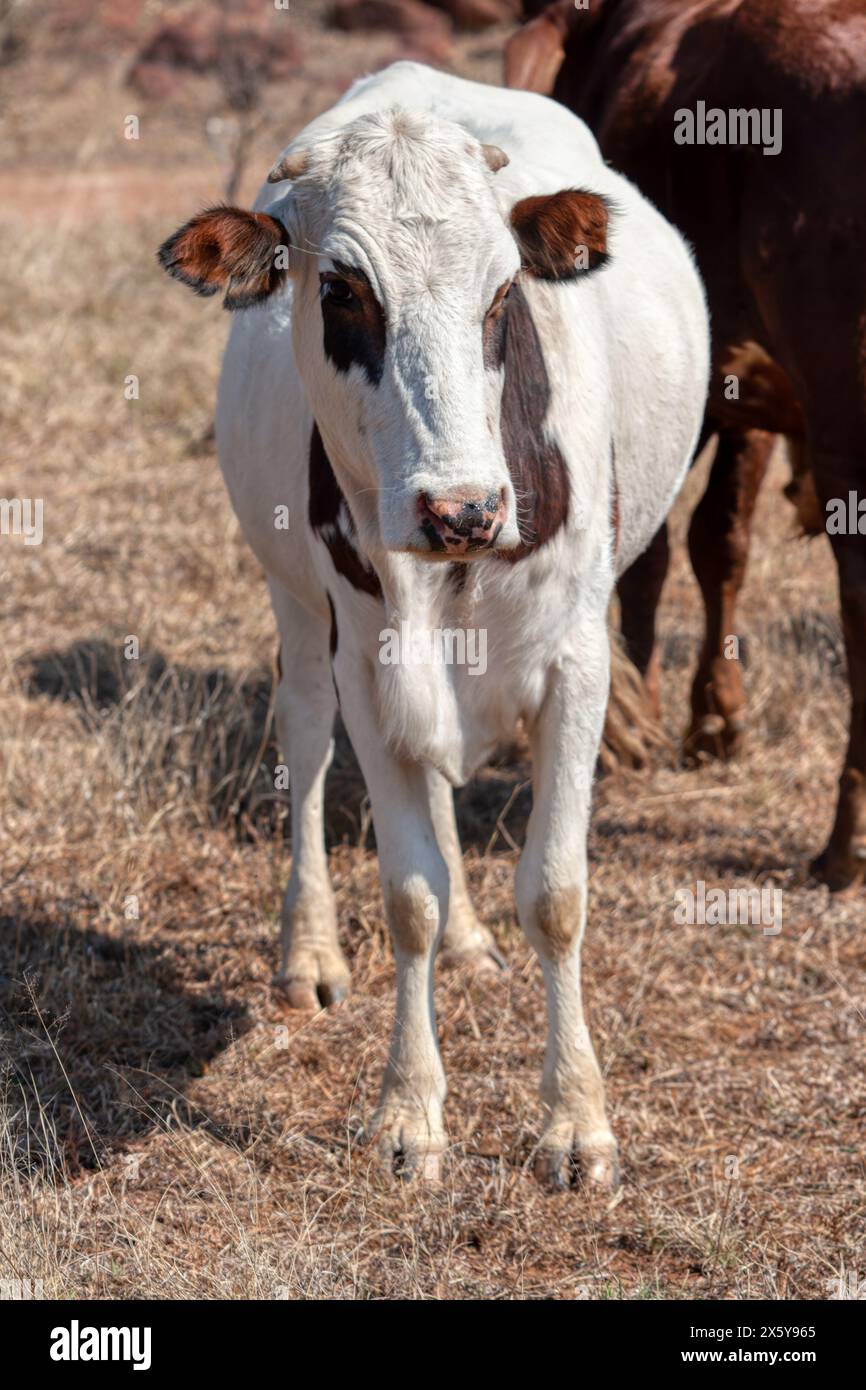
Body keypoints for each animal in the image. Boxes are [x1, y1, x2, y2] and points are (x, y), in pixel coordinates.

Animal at [158, 61, 709, 1188]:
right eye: (339, 290)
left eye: (503, 293)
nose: (463, 509)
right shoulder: (367, 664)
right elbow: (406, 889)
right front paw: (408, 1113)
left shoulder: (578, 666)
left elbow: (554, 892)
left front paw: (576, 1121)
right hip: (297, 608)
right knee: (306, 742)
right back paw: (311, 954)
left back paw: (467, 940)